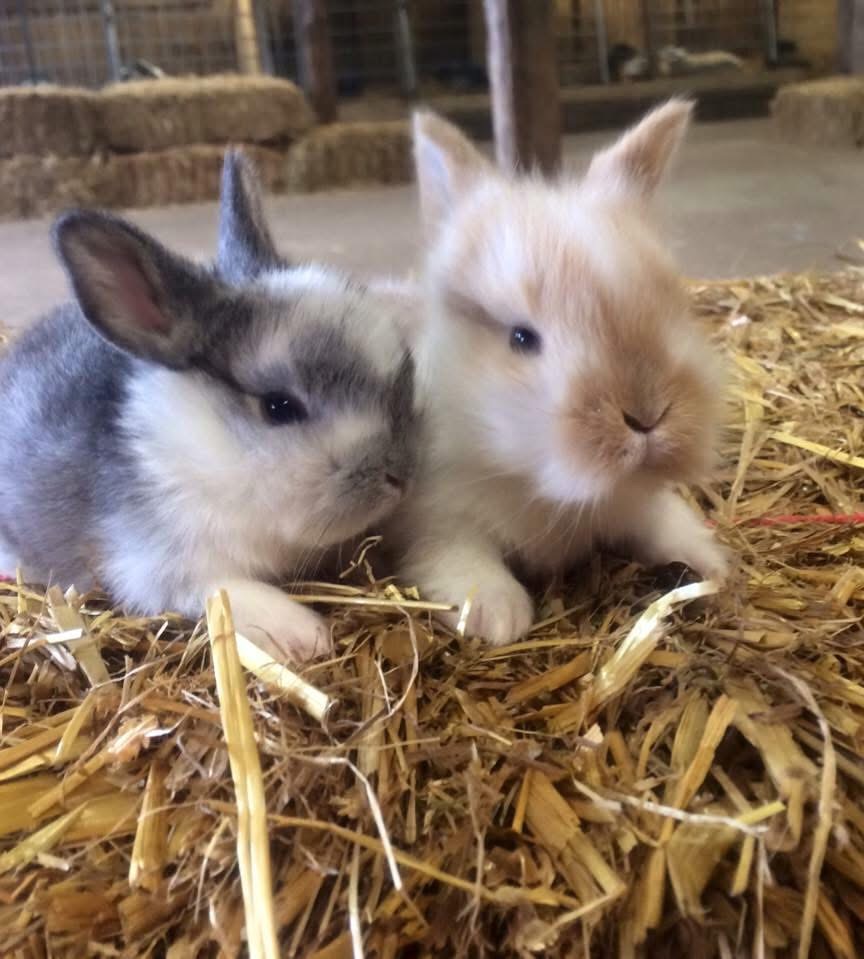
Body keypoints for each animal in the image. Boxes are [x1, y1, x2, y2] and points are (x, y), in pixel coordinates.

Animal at [0, 150, 419, 661]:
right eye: (279, 406)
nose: (400, 475)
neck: (205, 456)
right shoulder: (166, 569)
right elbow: (229, 594)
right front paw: (304, 635)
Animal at [389, 100, 730, 647]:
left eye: (668, 307)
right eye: (521, 338)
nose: (646, 417)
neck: (539, 488)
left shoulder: (636, 503)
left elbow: (663, 521)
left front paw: (712, 563)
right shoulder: (434, 519)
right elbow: (457, 558)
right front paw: (498, 615)